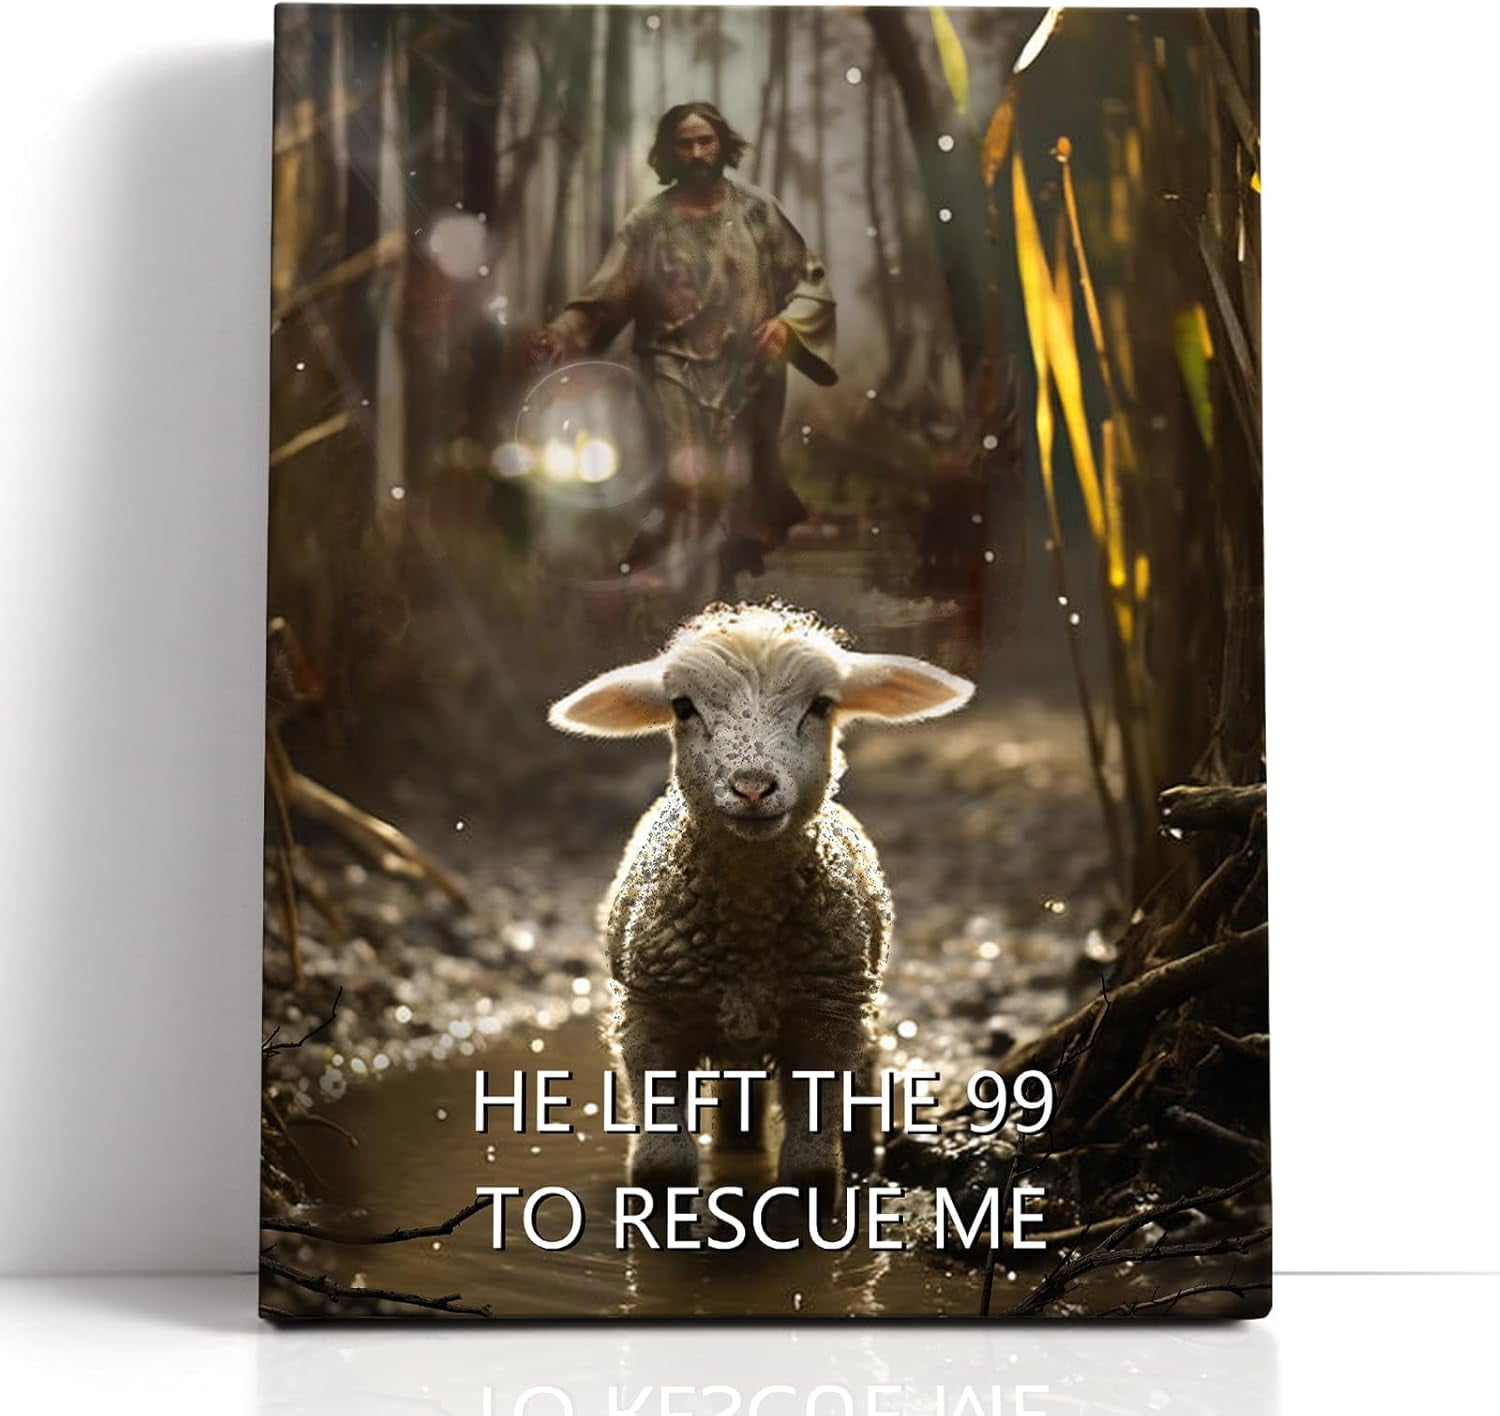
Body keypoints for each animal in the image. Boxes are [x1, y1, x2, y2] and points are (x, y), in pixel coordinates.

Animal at [547, 601, 974, 1192]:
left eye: (822, 705)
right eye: (683, 707)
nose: (752, 787)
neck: (746, 930)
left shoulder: (827, 1020)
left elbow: (811, 1169)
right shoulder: (650, 1020)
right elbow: (662, 1165)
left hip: (860, 1005)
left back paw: (863, 1161)